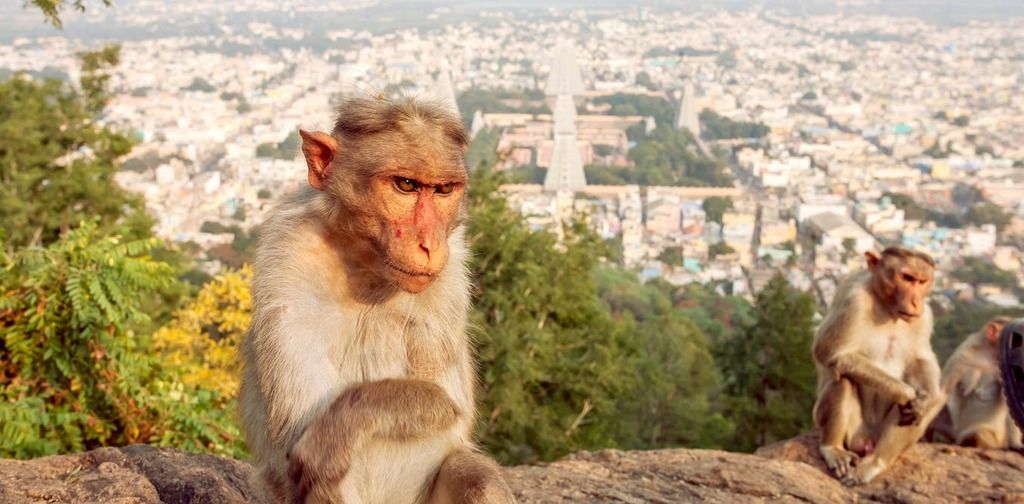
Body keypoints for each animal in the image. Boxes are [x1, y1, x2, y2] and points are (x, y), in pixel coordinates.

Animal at [238, 95, 516, 504]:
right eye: (406, 185)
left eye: (443, 190)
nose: (430, 245)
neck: (368, 269)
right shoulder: (286, 253)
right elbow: (296, 411)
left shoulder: (452, 270)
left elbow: (448, 399)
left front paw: (339, 428)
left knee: (478, 478)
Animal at [812, 246, 946, 486]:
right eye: (907, 278)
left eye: (922, 281)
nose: (915, 302)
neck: (887, 308)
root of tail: (869, 441)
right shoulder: (853, 299)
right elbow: (832, 353)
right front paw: (907, 394)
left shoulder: (925, 316)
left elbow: (921, 359)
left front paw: (925, 397)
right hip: (848, 430)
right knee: (843, 379)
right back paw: (832, 448)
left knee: (934, 403)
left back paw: (875, 463)